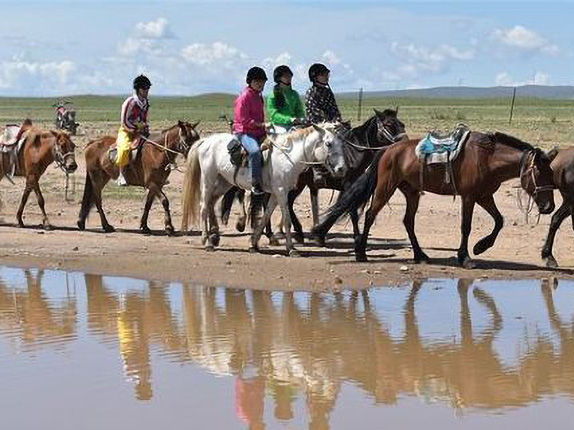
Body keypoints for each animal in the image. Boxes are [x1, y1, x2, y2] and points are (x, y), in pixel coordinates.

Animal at [182, 122, 348, 255]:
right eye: (328, 144)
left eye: (341, 144)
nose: (341, 169)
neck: (287, 157)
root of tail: (205, 141)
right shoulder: (281, 191)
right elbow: (286, 219)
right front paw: (291, 249)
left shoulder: (276, 193)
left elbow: (266, 215)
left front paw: (253, 243)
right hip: (208, 180)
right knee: (203, 206)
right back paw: (207, 242)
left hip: (224, 182)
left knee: (211, 203)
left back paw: (215, 236)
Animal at [316, 131, 560, 268]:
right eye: (539, 174)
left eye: (552, 174)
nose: (549, 207)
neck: (487, 159)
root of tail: (387, 150)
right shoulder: (469, 197)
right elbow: (465, 227)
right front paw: (466, 257)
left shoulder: (484, 196)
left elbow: (499, 221)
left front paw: (481, 247)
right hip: (386, 187)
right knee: (369, 214)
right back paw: (361, 253)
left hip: (412, 192)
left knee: (408, 221)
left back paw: (420, 255)